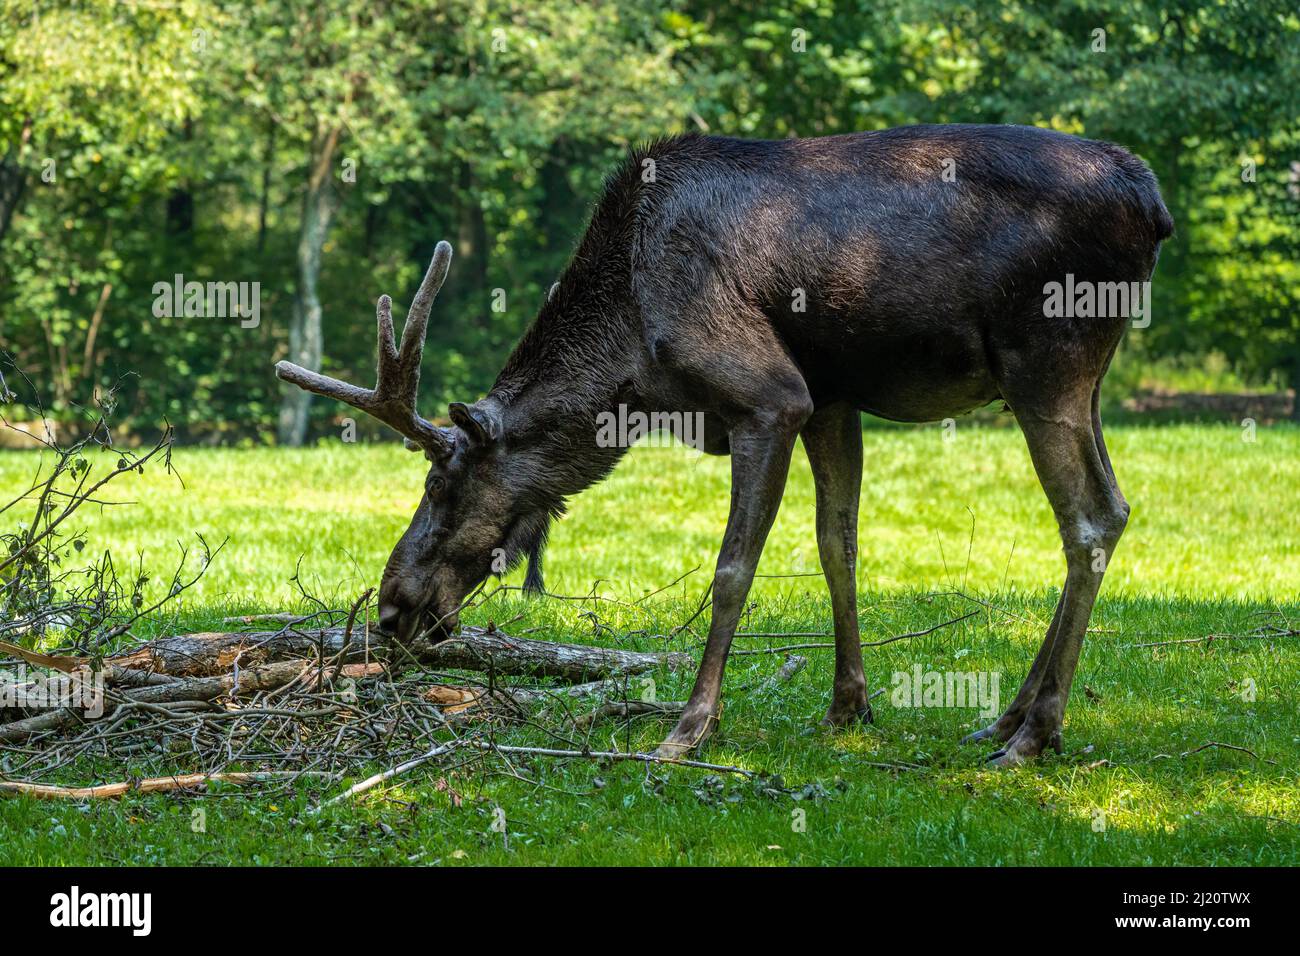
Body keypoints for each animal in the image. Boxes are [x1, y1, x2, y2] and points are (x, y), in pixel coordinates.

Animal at [276, 124, 1172, 766]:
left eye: (440, 483)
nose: (393, 606)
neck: (631, 366)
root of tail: (1154, 204)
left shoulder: (771, 396)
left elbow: (734, 566)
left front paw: (689, 728)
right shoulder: (831, 398)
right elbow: (838, 544)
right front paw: (848, 706)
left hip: (1045, 356)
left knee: (1090, 518)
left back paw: (1035, 733)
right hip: (1081, 376)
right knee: (1116, 507)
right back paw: (1007, 717)